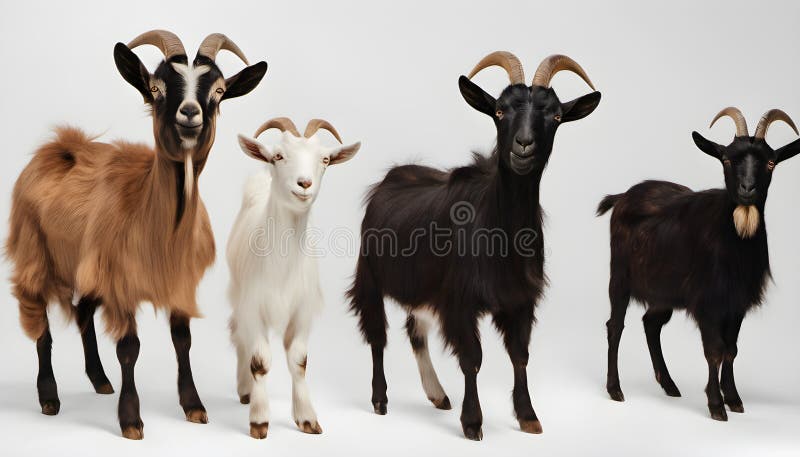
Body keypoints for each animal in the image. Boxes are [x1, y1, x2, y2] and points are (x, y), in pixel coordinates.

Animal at [5, 30, 267, 439]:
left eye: (220, 90)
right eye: (156, 88)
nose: (189, 113)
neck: (160, 226)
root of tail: (56, 148)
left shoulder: (177, 281)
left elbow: (182, 341)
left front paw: (193, 405)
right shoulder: (120, 284)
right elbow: (129, 348)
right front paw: (131, 419)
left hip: (87, 269)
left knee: (82, 312)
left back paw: (99, 379)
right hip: (36, 253)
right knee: (39, 325)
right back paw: (49, 397)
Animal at [228, 117, 361, 439]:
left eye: (325, 159)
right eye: (278, 155)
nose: (304, 184)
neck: (282, 267)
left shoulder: (303, 312)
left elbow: (299, 362)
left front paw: (307, 418)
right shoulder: (253, 308)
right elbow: (260, 361)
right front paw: (259, 420)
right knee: (239, 337)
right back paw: (244, 389)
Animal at [347, 52, 601, 440]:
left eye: (556, 116)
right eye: (499, 110)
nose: (523, 145)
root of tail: (390, 178)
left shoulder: (520, 300)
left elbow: (520, 355)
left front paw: (528, 417)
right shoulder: (460, 300)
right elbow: (472, 359)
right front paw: (472, 422)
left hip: (423, 288)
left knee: (415, 331)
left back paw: (437, 394)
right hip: (370, 276)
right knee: (378, 335)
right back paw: (380, 400)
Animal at [597, 107, 800, 421]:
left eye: (770, 162)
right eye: (727, 159)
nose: (747, 189)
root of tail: (622, 197)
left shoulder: (735, 303)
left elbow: (731, 349)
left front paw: (734, 399)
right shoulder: (708, 301)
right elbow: (714, 350)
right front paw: (716, 405)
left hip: (663, 291)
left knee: (651, 323)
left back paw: (669, 384)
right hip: (619, 276)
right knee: (615, 326)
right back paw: (615, 389)